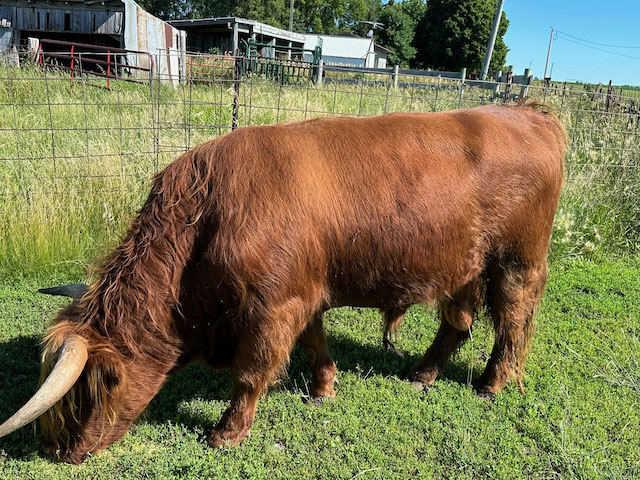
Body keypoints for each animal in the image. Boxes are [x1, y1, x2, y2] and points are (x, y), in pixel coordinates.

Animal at [0, 103, 566, 463]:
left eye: (97, 387)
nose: (57, 450)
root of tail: (530, 112)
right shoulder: (303, 293)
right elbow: (314, 343)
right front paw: (323, 389)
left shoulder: (272, 306)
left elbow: (251, 372)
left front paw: (226, 434)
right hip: (465, 265)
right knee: (459, 320)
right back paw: (421, 375)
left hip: (516, 260)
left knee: (513, 321)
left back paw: (492, 384)